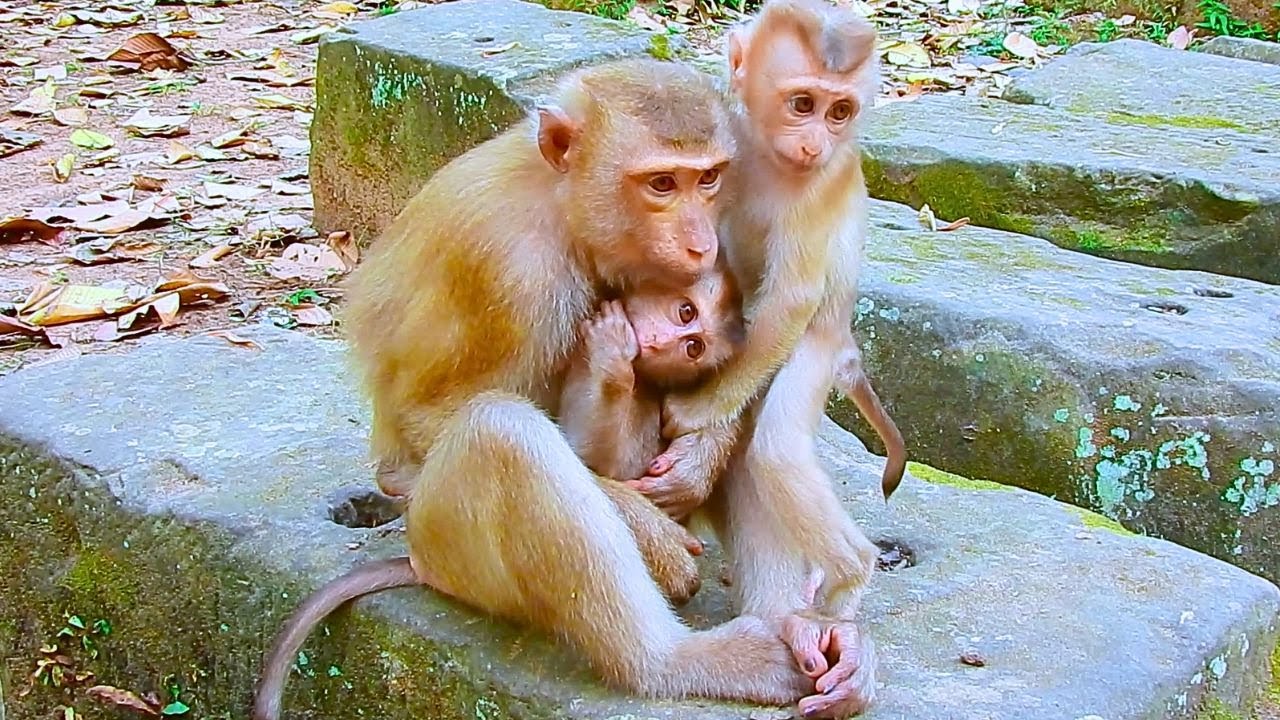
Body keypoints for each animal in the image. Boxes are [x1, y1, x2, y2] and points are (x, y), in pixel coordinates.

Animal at [251, 58, 868, 720]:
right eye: (661, 184)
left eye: (707, 179)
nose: (702, 241)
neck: (564, 210)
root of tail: (418, 560)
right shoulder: (507, 268)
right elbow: (426, 414)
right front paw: (650, 532)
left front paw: (699, 457)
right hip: (450, 547)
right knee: (501, 432)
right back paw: (677, 660)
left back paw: (801, 627)